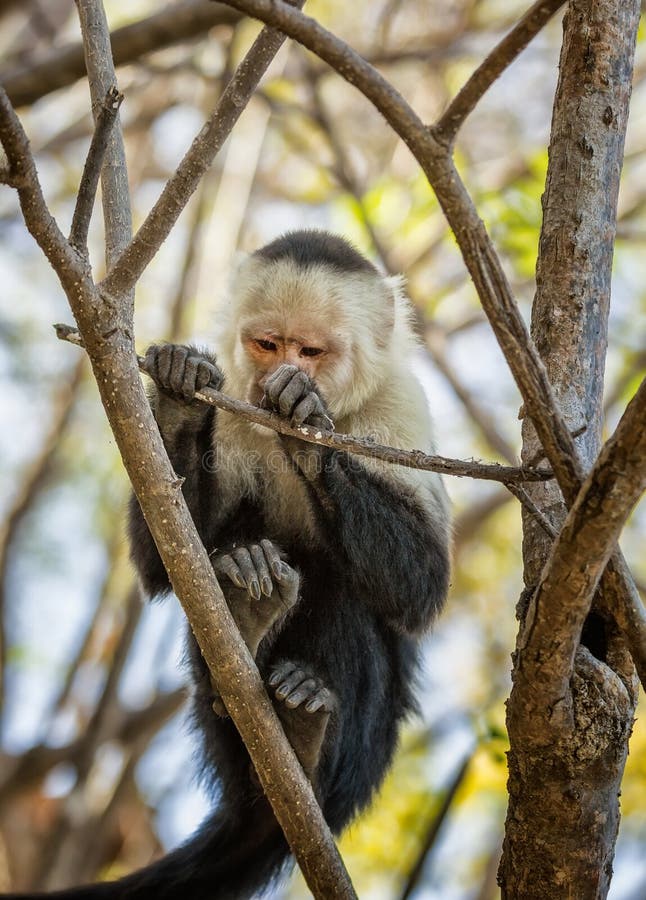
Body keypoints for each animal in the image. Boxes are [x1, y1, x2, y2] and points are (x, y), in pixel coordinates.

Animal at [6, 230, 451, 900]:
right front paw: (179, 397)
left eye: (310, 351)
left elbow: (422, 586)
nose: (281, 374)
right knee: (221, 568)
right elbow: (167, 563)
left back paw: (304, 737)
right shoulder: (239, 402)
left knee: (345, 593)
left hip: (362, 752)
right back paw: (244, 613)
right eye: (266, 343)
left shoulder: (402, 406)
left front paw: (305, 421)